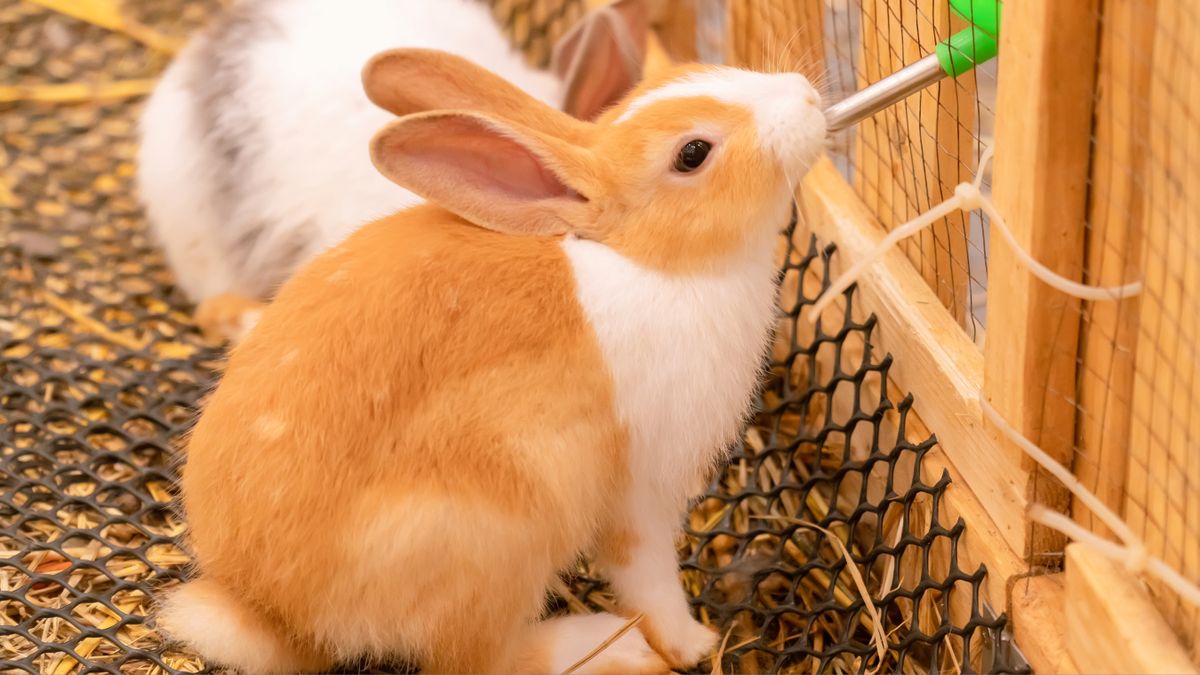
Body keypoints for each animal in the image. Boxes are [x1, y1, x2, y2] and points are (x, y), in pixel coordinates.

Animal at [155, 47, 827, 674]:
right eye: (692, 153)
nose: (806, 97)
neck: (650, 261)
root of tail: (266, 611)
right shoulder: (641, 488)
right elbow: (648, 576)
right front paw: (691, 643)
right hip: (494, 529)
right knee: (480, 659)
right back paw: (610, 649)